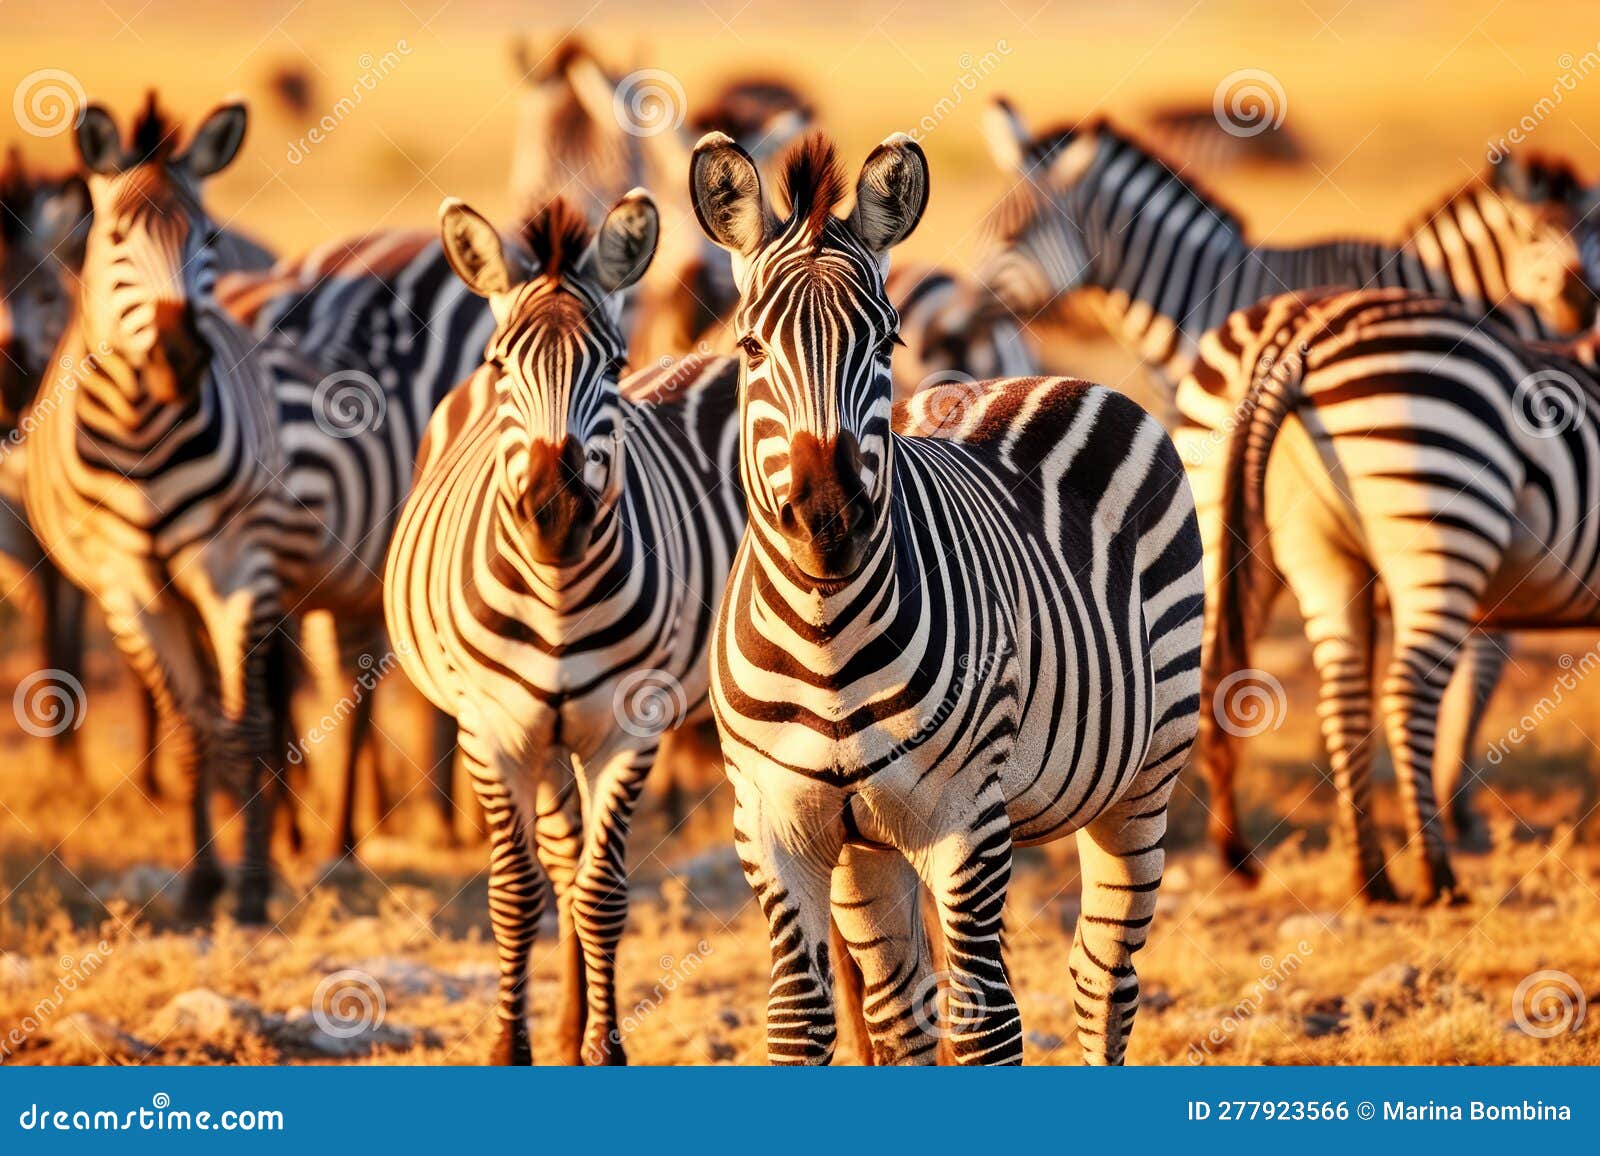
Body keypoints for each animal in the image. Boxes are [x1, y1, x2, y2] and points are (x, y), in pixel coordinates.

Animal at [24, 96, 309, 923]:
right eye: (116, 240)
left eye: (207, 241)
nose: (180, 359)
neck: (144, 433)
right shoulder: (127, 584)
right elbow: (191, 731)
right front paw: (202, 885)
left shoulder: (234, 567)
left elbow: (245, 727)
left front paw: (251, 892)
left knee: (267, 703)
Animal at [383, 192, 744, 1066]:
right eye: (501, 365)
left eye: (611, 367)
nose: (553, 510)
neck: (555, 592)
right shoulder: (491, 729)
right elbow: (516, 892)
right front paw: (511, 1047)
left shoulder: (629, 729)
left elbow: (603, 892)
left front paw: (604, 1049)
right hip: (540, 737)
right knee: (557, 855)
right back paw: (559, 1021)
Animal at [690, 130, 1205, 1065]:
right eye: (749, 349)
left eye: (886, 343)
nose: (830, 519)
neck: (825, 640)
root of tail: (1050, 379)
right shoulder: (776, 827)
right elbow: (805, 1023)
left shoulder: (963, 822)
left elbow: (988, 1027)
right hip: (874, 851)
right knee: (906, 1009)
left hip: (1143, 777)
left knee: (1101, 979)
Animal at [1191, 287, 1600, 902]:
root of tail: (1294, 334)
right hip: (1443, 518)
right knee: (1408, 692)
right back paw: (1438, 877)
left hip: (1291, 543)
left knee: (1334, 695)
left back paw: (1365, 876)